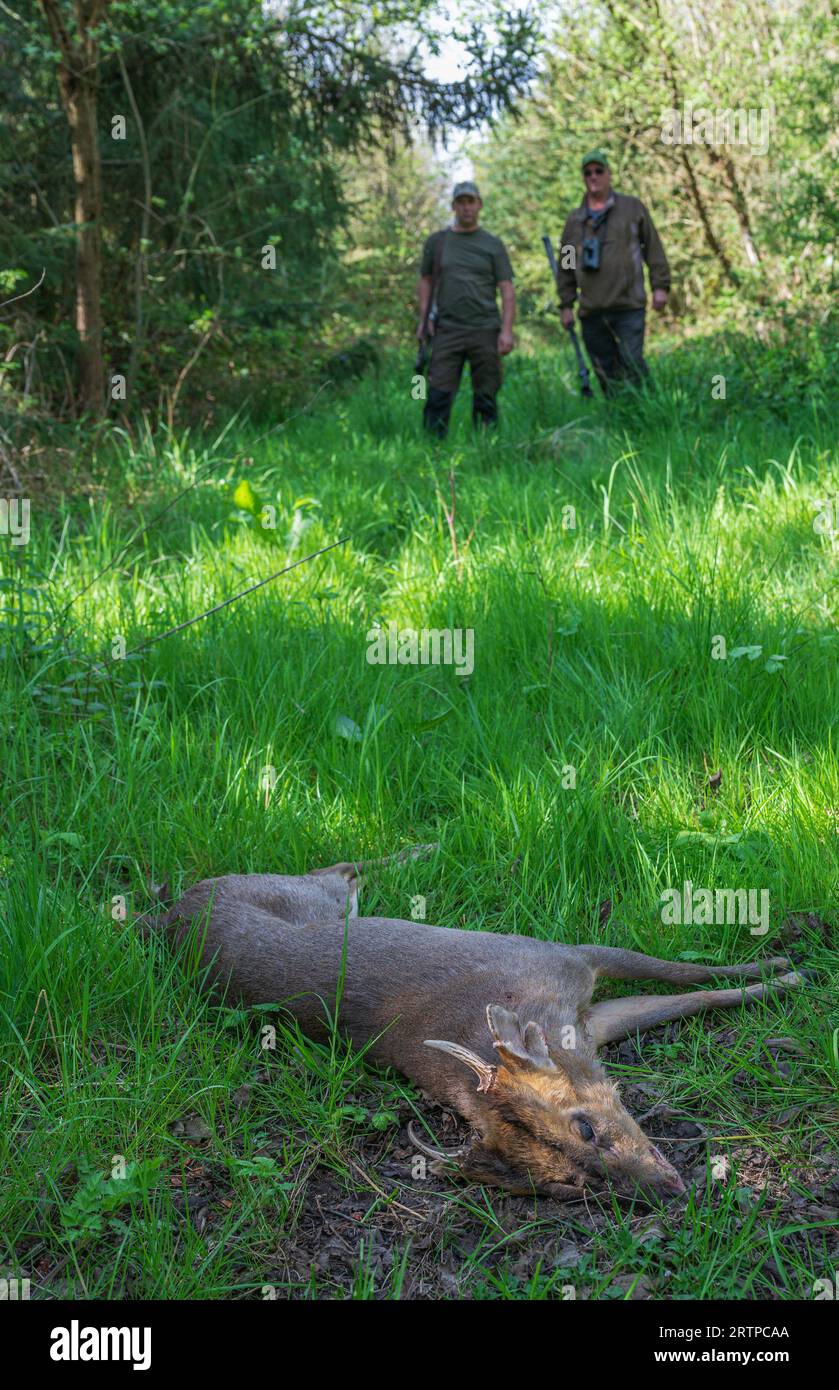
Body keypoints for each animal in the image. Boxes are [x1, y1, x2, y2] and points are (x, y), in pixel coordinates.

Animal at [138, 849, 806, 1202]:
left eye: (586, 1126)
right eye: (569, 1184)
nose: (670, 1189)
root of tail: (173, 913)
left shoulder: (565, 956)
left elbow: (683, 972)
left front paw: (783, 969)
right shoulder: (586, 1012)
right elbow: (684, 995)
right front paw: (784, 974)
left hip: (306, 894)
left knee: (343, 866)